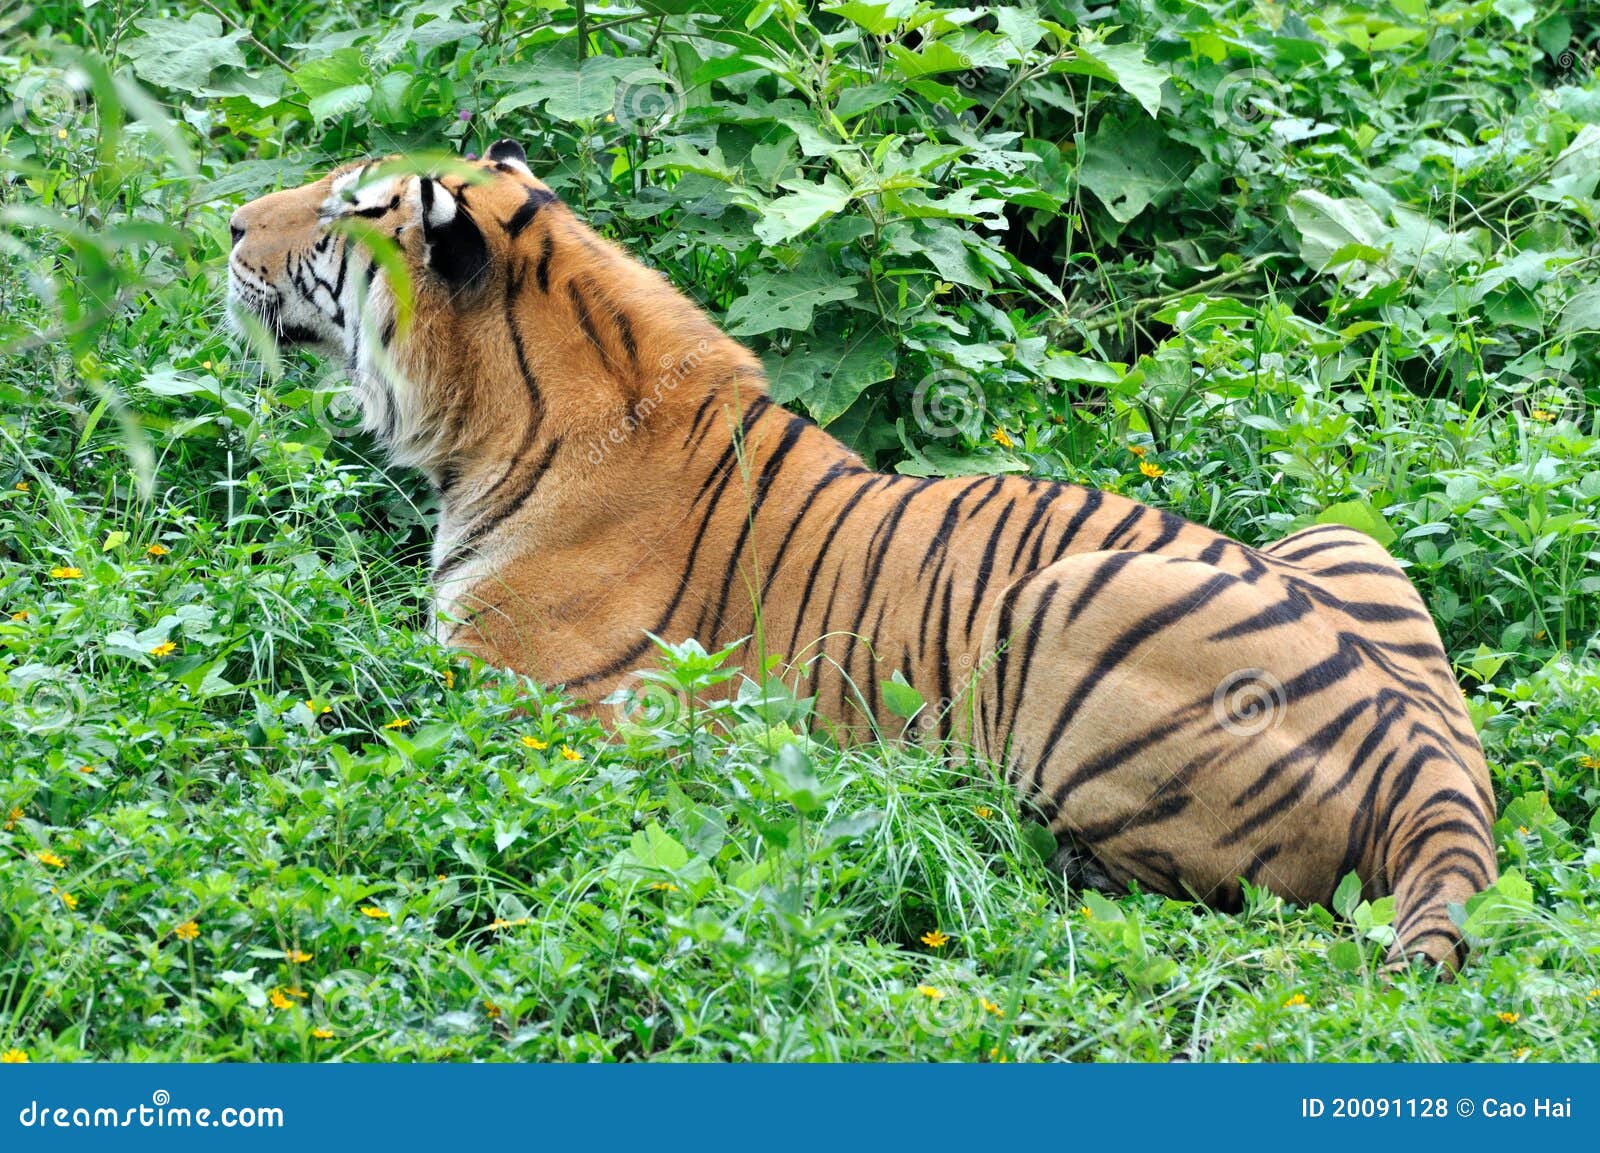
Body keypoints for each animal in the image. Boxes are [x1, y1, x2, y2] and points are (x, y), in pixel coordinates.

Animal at [226, 139, 1497, 972]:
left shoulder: (527, 708)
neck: (490, 416)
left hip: (1066, 605)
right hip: (1344, 535)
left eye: (338, 214)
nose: (231, 224)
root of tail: (1434, 773)